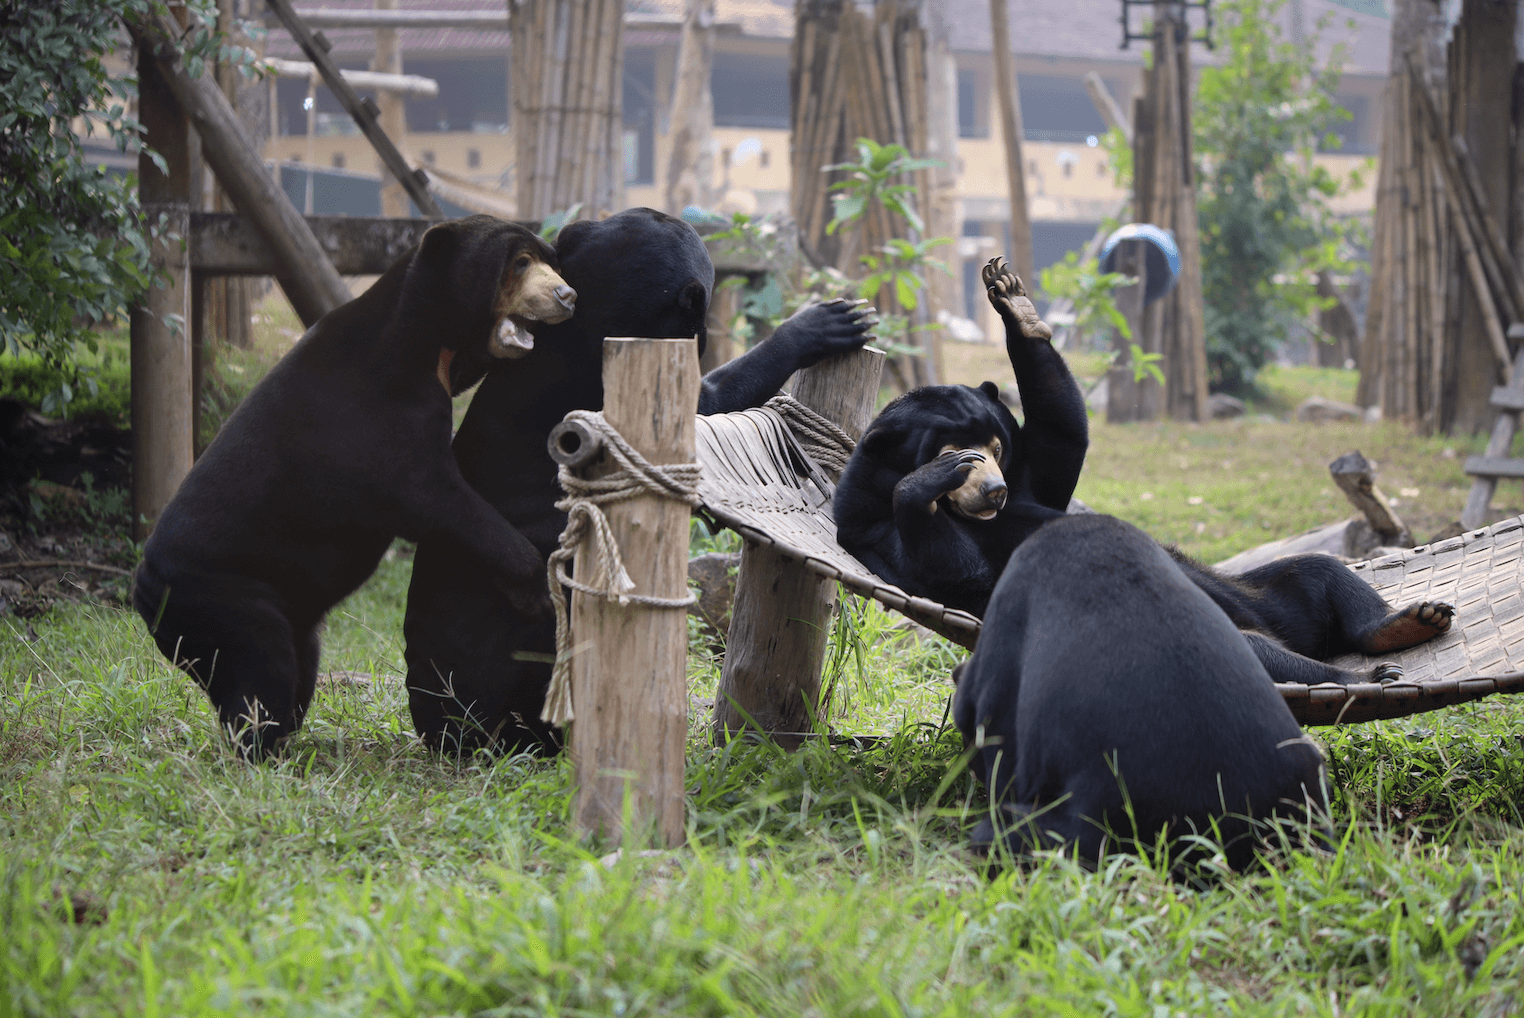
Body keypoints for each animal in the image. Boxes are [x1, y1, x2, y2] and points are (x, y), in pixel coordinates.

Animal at [132, 216, 575, 760]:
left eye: (550, 261)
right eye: (520, 262)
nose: (567, 295)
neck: (423, 343)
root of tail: (144, 592)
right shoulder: (380, 423)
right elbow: (437, 500)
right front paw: (535, 588)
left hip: (283, 615)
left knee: (291, 677)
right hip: (227, 602)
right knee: (262, 678)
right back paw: (259, 751)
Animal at [833, 257, 1090, 617]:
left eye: (997, 450)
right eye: (952, 454)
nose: (995, 491)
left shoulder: (1026, 481)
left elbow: (1060, 446)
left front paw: (1014, 301)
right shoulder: (867, 523)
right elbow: (957, 572)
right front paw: (927, 480)